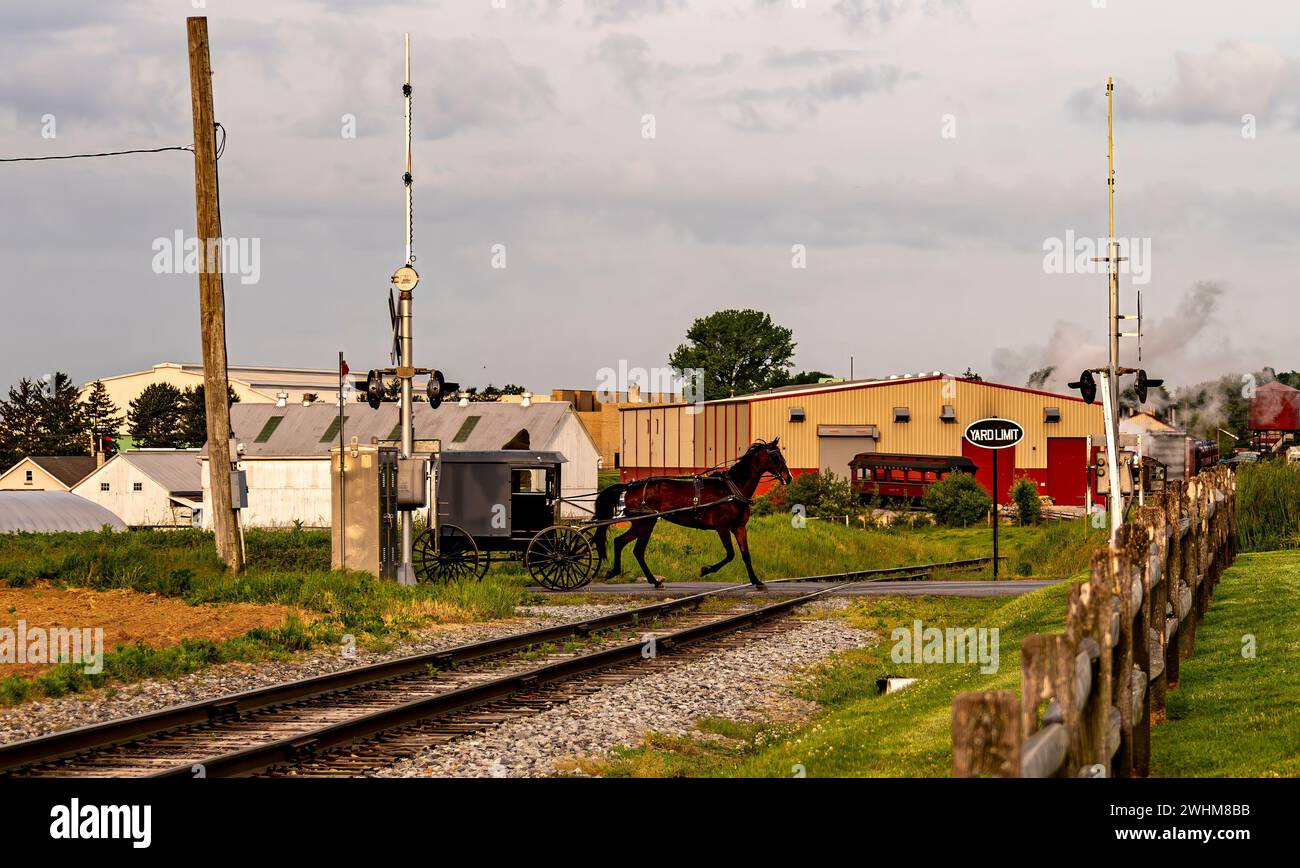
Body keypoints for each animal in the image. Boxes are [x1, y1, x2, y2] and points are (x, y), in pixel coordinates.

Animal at [591, 438, 793, 589]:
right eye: (775, 456)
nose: (789, 477)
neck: (732, 489)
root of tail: (630, 486)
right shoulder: (722, 527)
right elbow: (730, 554)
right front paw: (706, 570)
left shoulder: (739, 528)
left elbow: (745, 555)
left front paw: (757, 581)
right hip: (646, 523)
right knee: (638, 550)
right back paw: (653, 580)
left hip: (641, 523)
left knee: (620, 542)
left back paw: (618, 572)